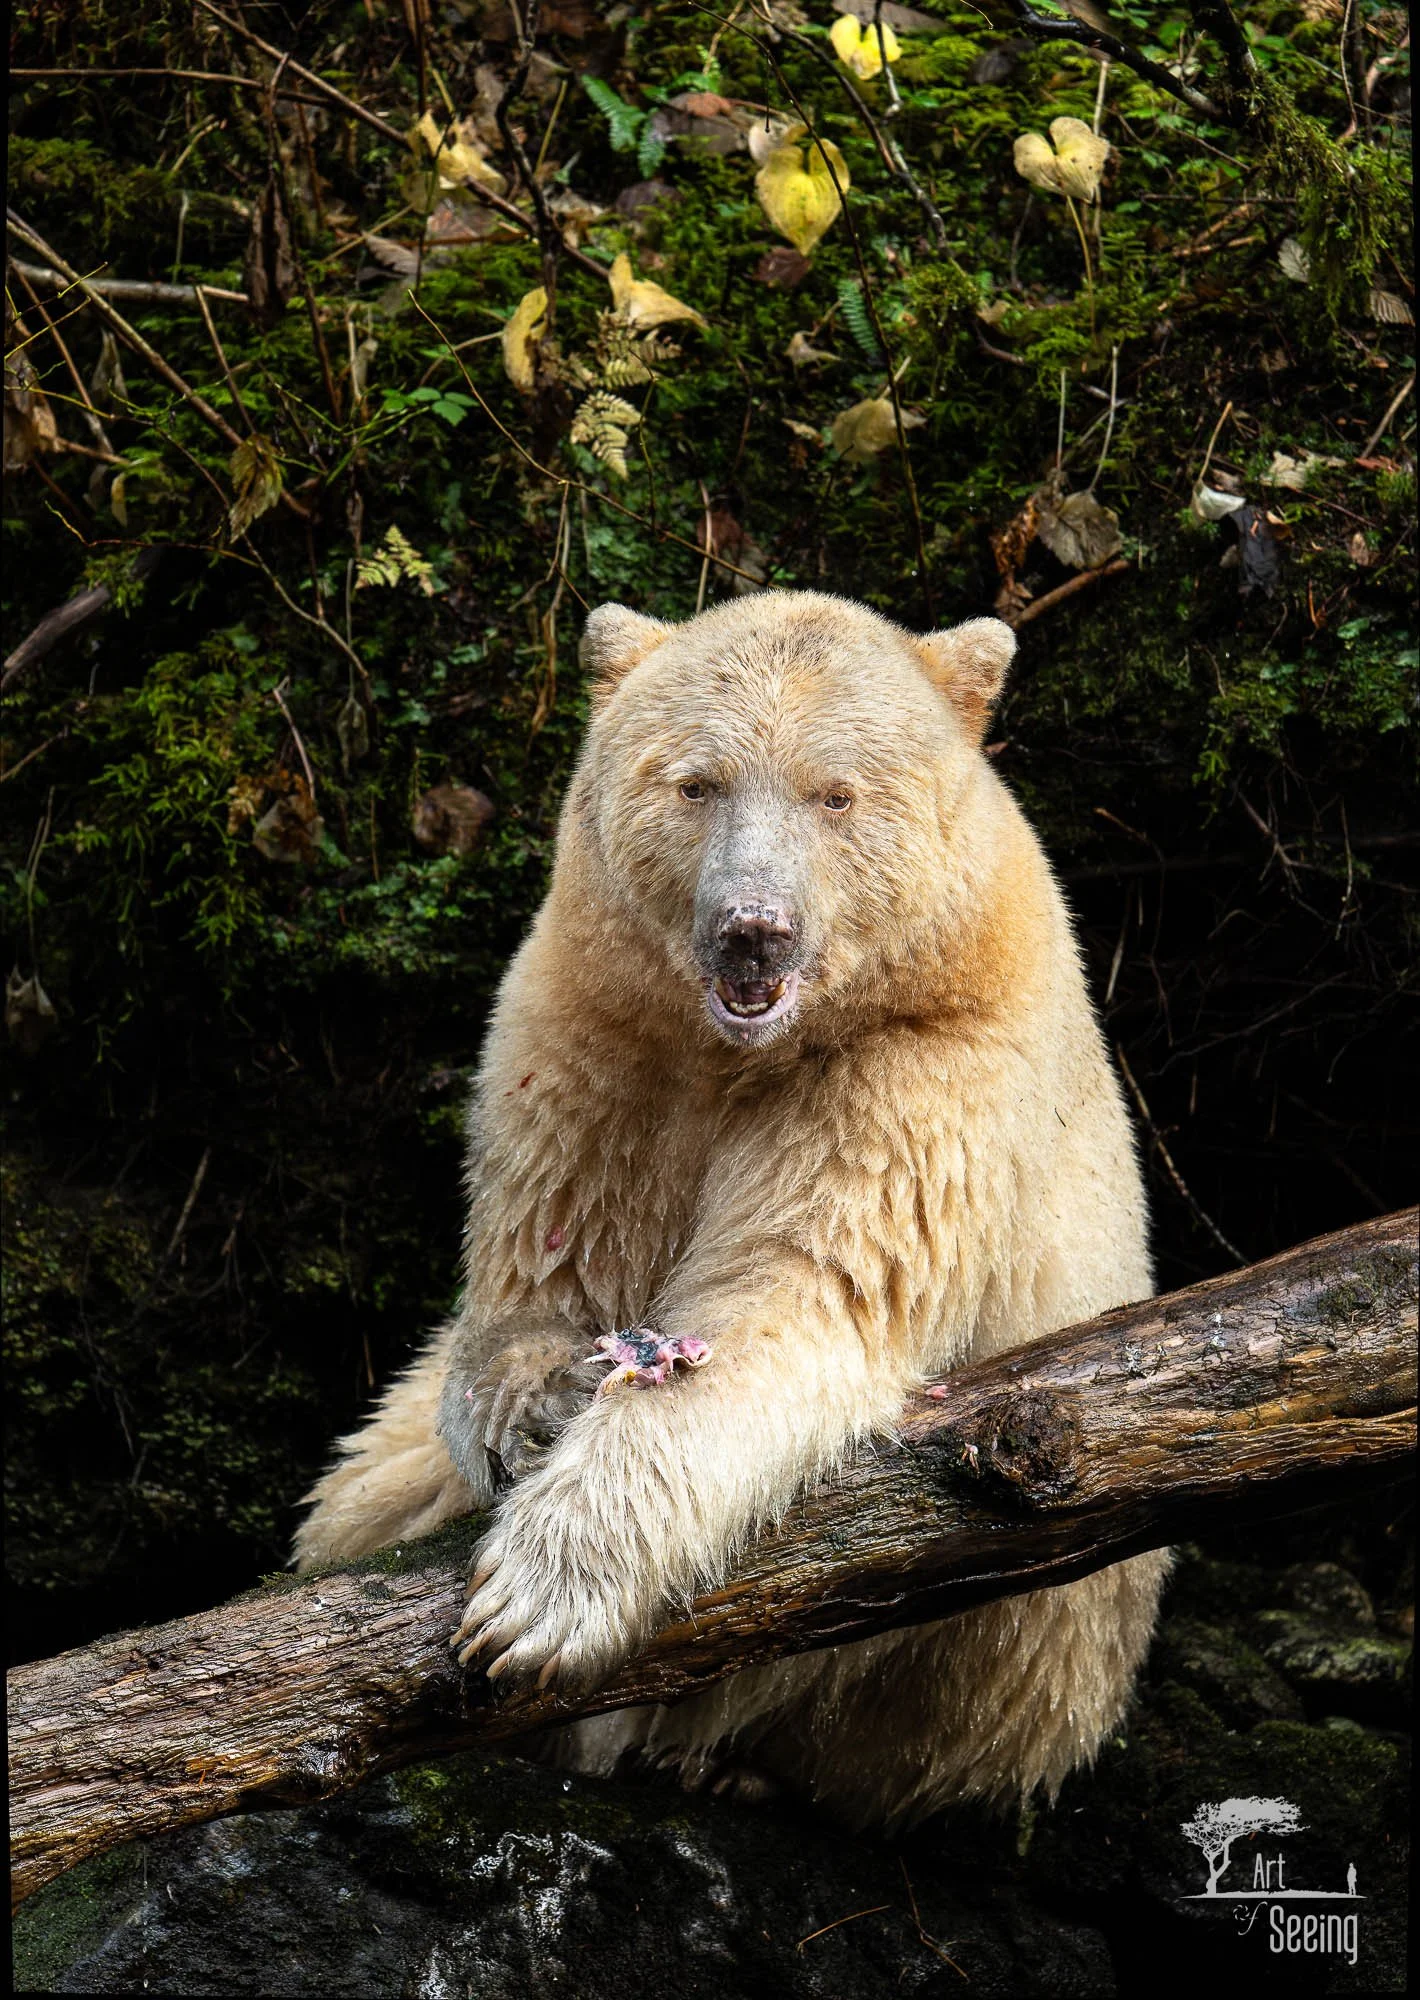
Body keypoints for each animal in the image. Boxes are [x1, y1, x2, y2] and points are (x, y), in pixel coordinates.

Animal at [294, 590, 1168, 1833]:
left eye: (834, 792)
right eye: (697, 782)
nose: (753, 927)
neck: (747, 1050)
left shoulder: (921, 1069)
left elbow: (799, 1303)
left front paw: (538, 1592)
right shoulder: (596, 1032)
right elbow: (544, 1262)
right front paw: (532, 1397)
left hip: (1010, 1651)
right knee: (369, 1483)